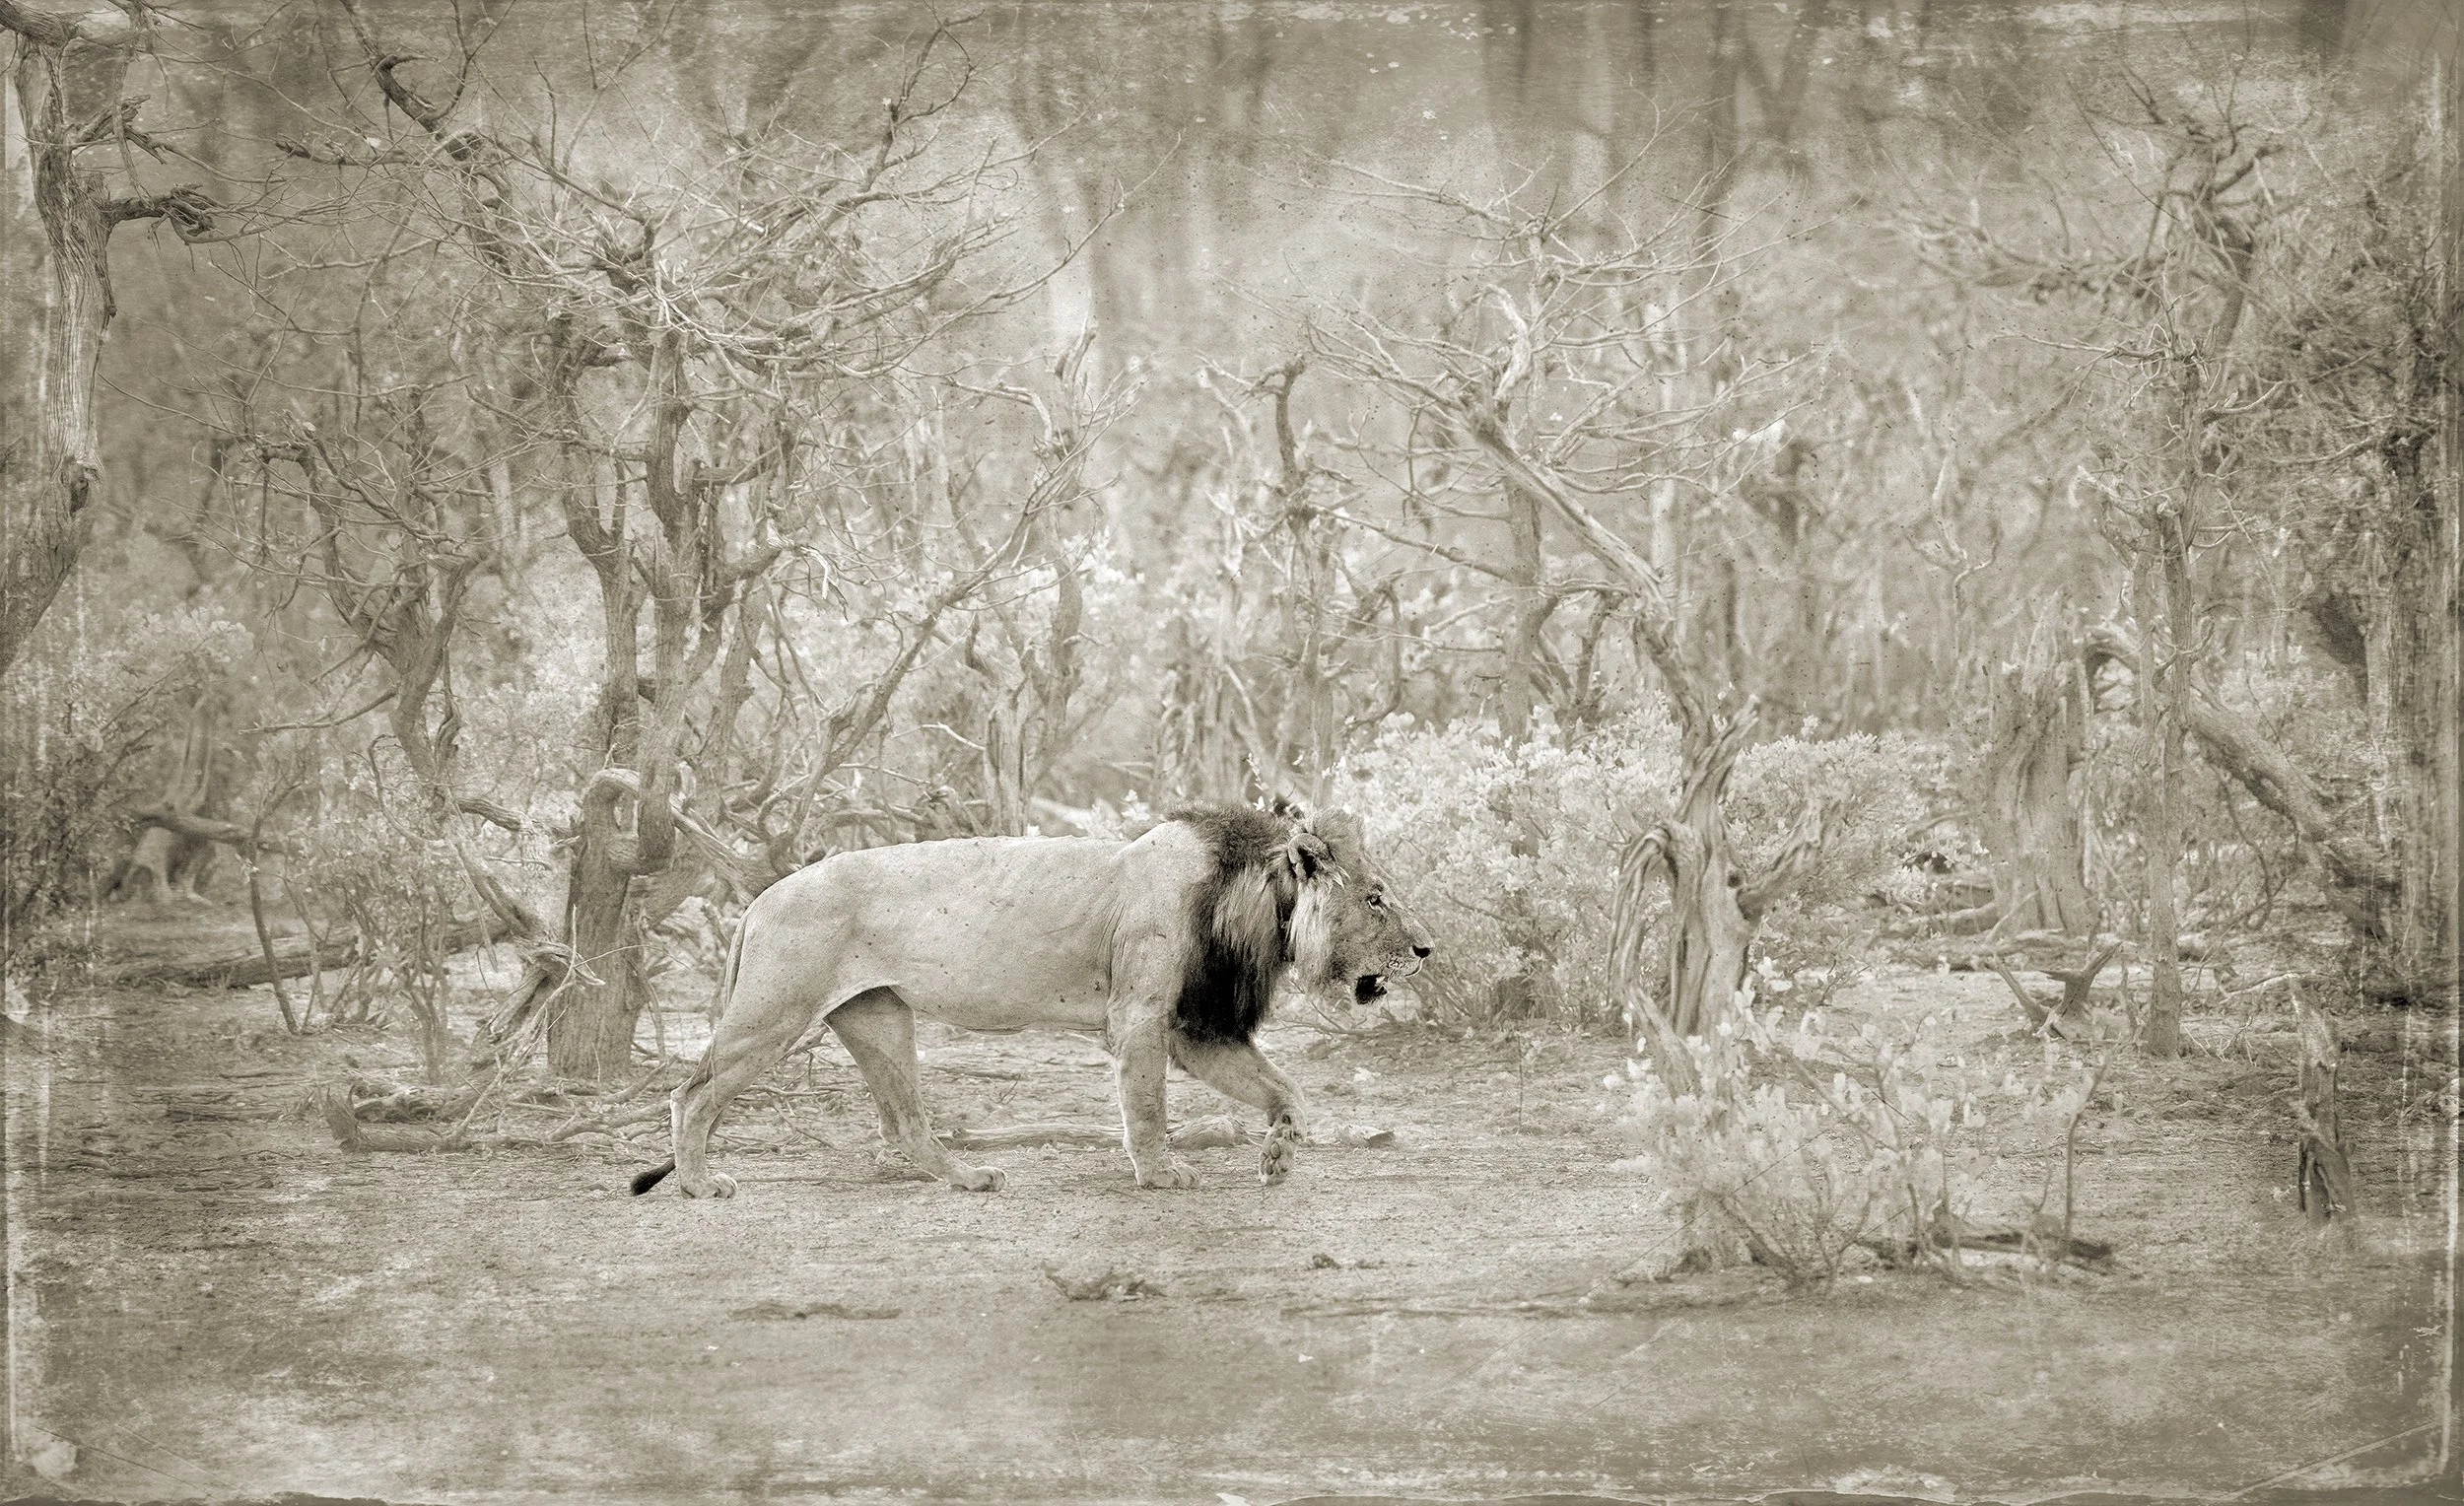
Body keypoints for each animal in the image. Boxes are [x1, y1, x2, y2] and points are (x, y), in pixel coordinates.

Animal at [628, 802, 1431, 1197]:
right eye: (1377, 898)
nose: (1427, 950)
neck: (1251, 899)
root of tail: (758, 899)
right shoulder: (1143, 1018)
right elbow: (1147, 1108)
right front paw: (1161, 1175)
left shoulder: (1192, 1029)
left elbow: (1287, 1090)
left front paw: (1278, 1159)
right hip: (774, 1012)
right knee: (690, 1095)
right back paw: (699, 1184)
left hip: (877, 1016)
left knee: (910, 1125)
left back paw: (971, 1179)